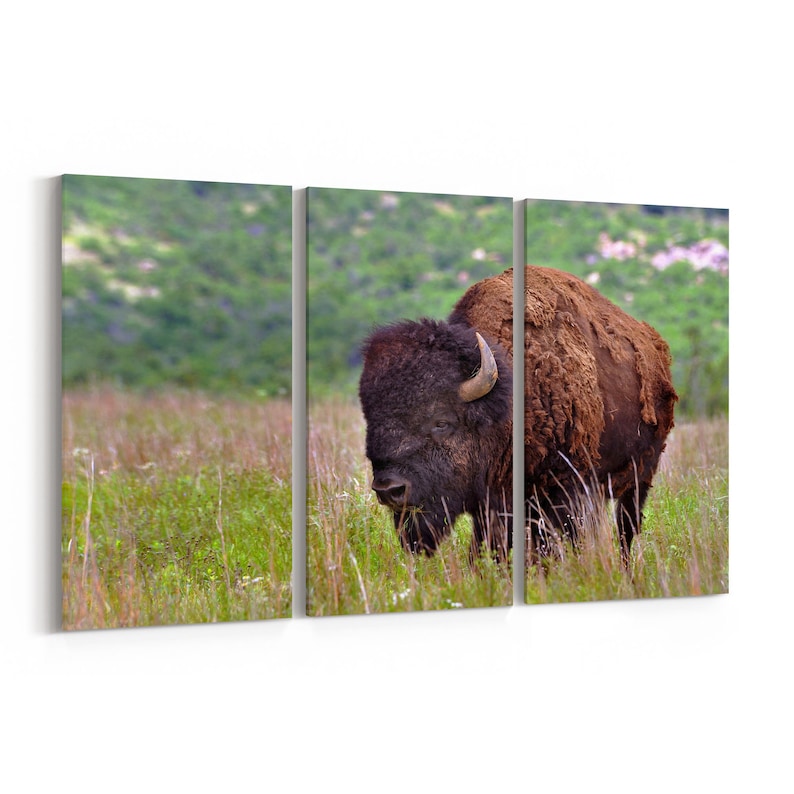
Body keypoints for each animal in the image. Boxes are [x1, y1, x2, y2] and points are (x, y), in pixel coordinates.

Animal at [358, 265, 677, 564]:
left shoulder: (564, 488)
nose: (389, 489)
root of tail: (654, 345)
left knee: (625, 529)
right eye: (371, 420)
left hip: (640, 477)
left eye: (442, 422)